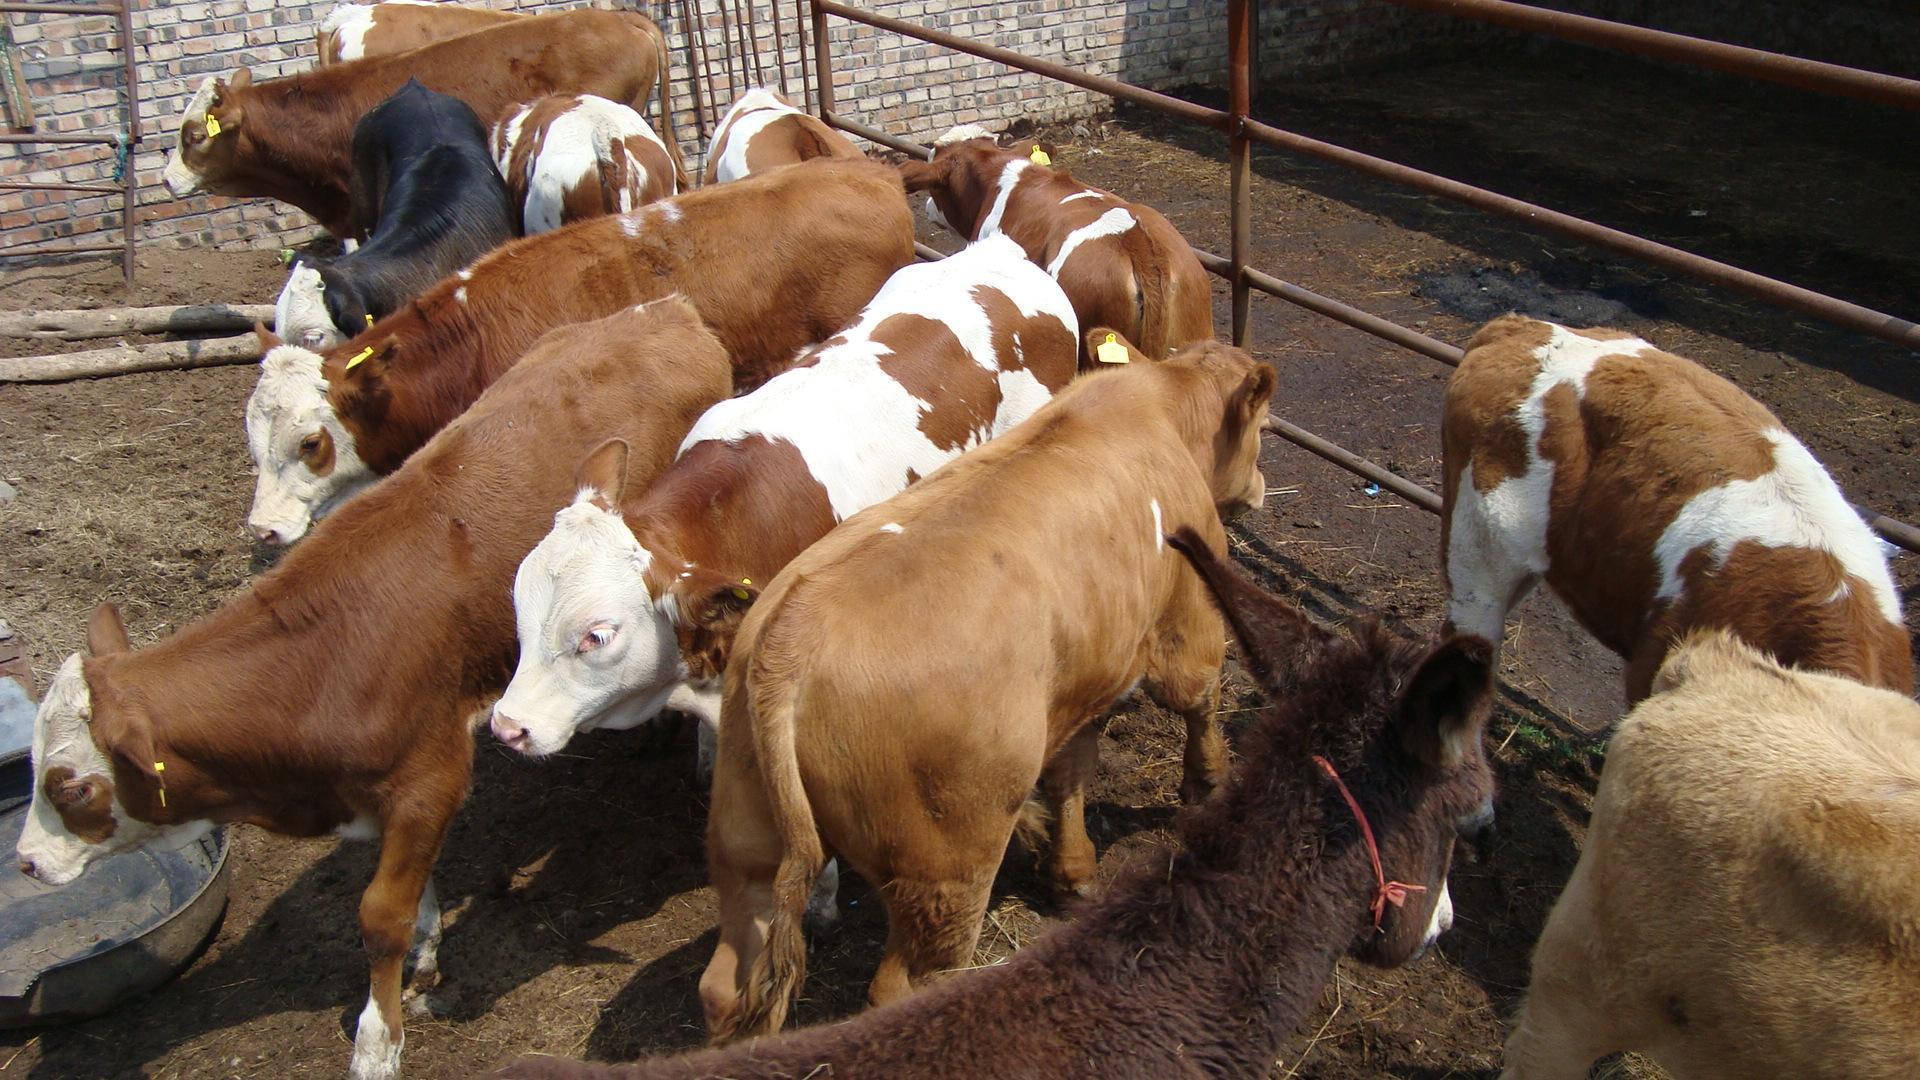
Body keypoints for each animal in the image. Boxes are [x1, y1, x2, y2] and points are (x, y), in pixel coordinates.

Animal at [14, 300, 734, 1080]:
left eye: (71, 785)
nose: (25, 861)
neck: (320, 661)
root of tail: (662, 311)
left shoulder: (431, 778)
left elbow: (378, 918)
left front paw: (377, 1041)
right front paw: (425, 941)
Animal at [698, 333, 1276, 1040]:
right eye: (1263, 428)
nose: (1261, 486)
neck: (1158, 411)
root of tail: (790, 637)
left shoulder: (1081, 675)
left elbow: (1071, 770)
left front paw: (1074, 873)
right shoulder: (1186, 623)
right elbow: (1201, 698)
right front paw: (1209, 781)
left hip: (746, 831)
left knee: (727, 978)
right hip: (946, 865)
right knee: (900, 985)